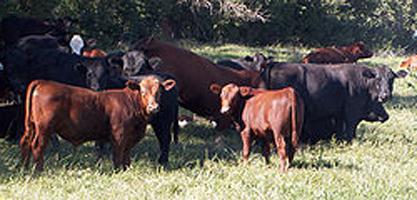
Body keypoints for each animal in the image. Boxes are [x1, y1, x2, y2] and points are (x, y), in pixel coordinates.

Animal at [262, 62, 404, 142]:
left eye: (392, 79)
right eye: (378, 78)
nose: (386, 95)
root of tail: (274, 64)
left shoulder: (338, 113)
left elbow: (339, 129)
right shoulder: (351, 112)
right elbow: (351, 129)